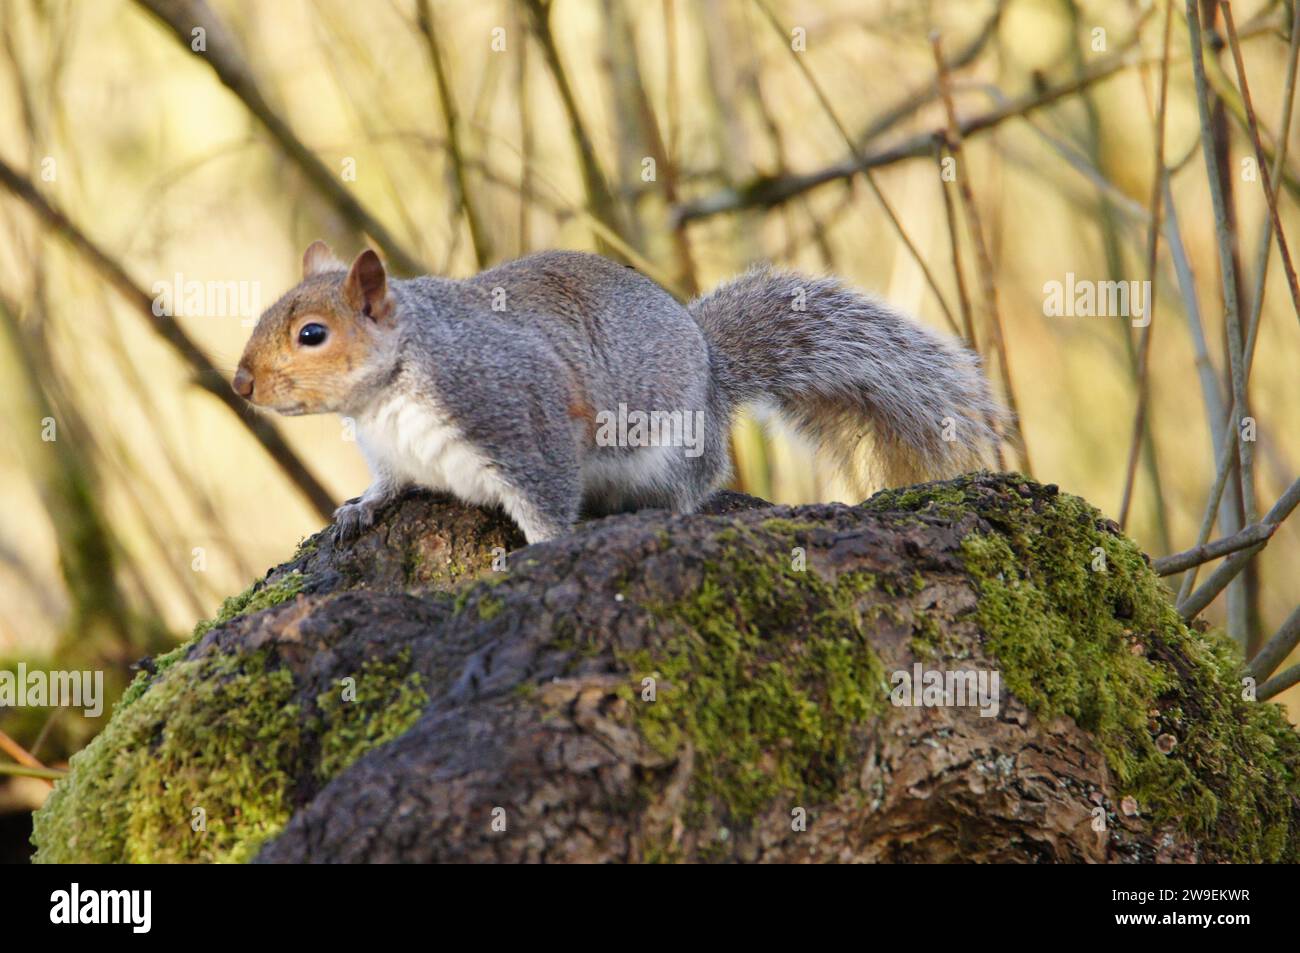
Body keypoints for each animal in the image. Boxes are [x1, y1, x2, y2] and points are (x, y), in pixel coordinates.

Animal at [233, 242, 1005, 544]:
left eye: (311, 334)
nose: (241, 381)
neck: (389, 394)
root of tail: (711, 372)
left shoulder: (521, 419)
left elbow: (546, 503)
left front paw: (538, 553)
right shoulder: (393, 453)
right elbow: (388, 485)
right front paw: (357, 509)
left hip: (671, 453)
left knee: (693, 488)